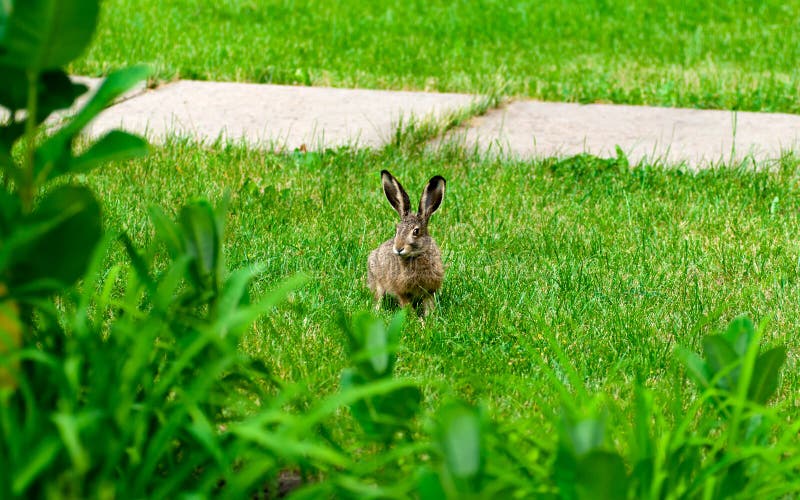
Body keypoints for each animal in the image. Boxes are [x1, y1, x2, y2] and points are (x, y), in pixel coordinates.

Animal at [368, 170, 446, 316]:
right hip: (376, 280)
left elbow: (429, 305)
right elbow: (406, 305)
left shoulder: (429, 291)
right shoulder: (401, 291)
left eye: (416, 231)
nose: (398, 248)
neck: (417, 255)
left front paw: (429, 317)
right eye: (396, 230)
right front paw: (414, 318)